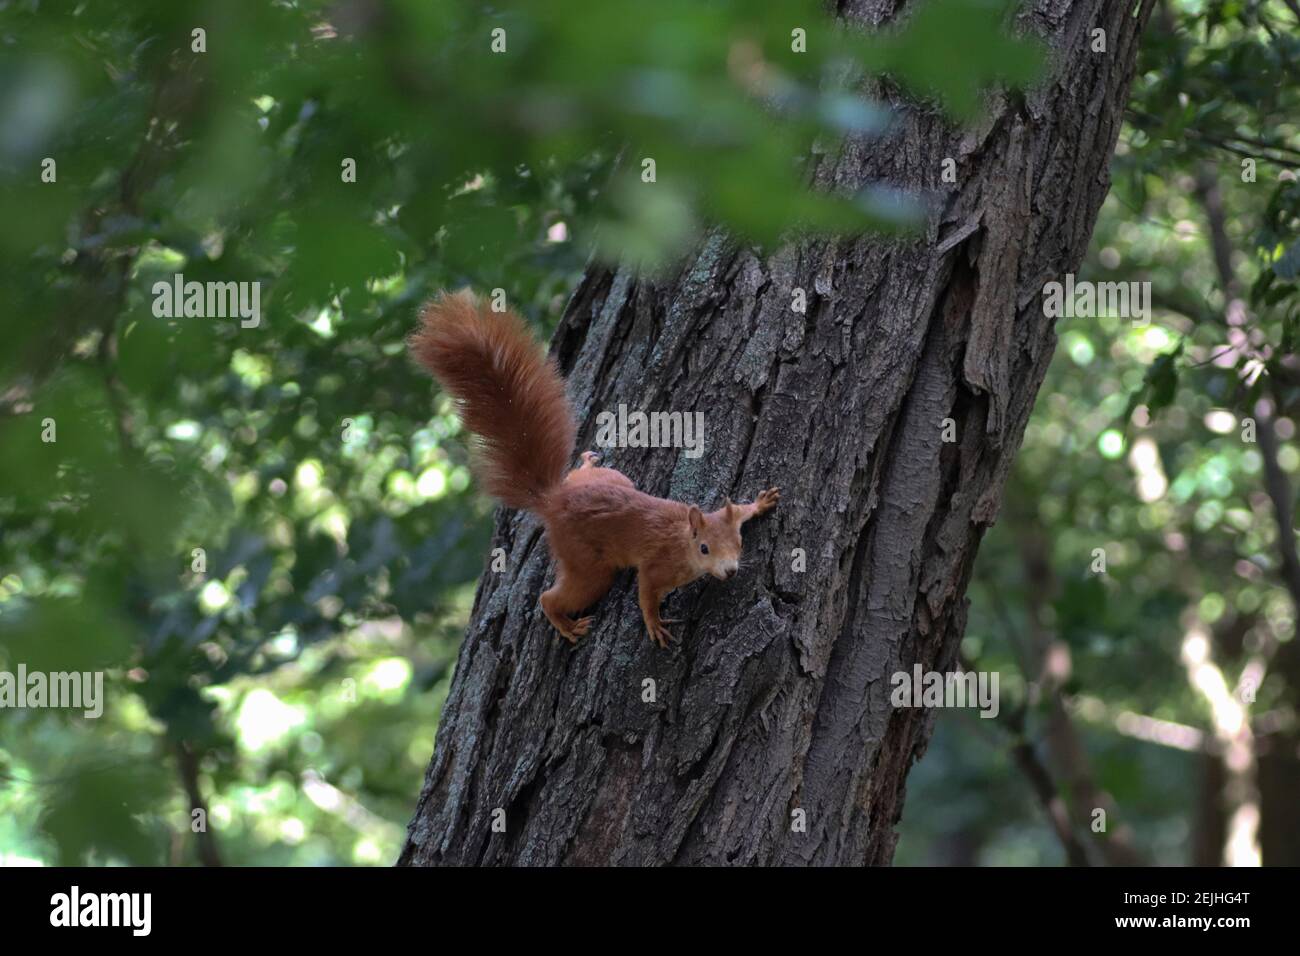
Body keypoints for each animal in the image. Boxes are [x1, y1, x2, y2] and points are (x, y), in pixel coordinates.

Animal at [407, 290, 779, 648]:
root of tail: (553, 500)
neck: (682, 541)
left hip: (615, 480)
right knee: (552, 597)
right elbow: (646, 592)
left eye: (739, 542)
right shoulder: (658, 566)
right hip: (587, 563)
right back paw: (565, 624)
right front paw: (654, 624)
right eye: (704, 549)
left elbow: (741, 510)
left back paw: (586, 462)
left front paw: (761, 503)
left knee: (585, 476)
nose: (730, 571)